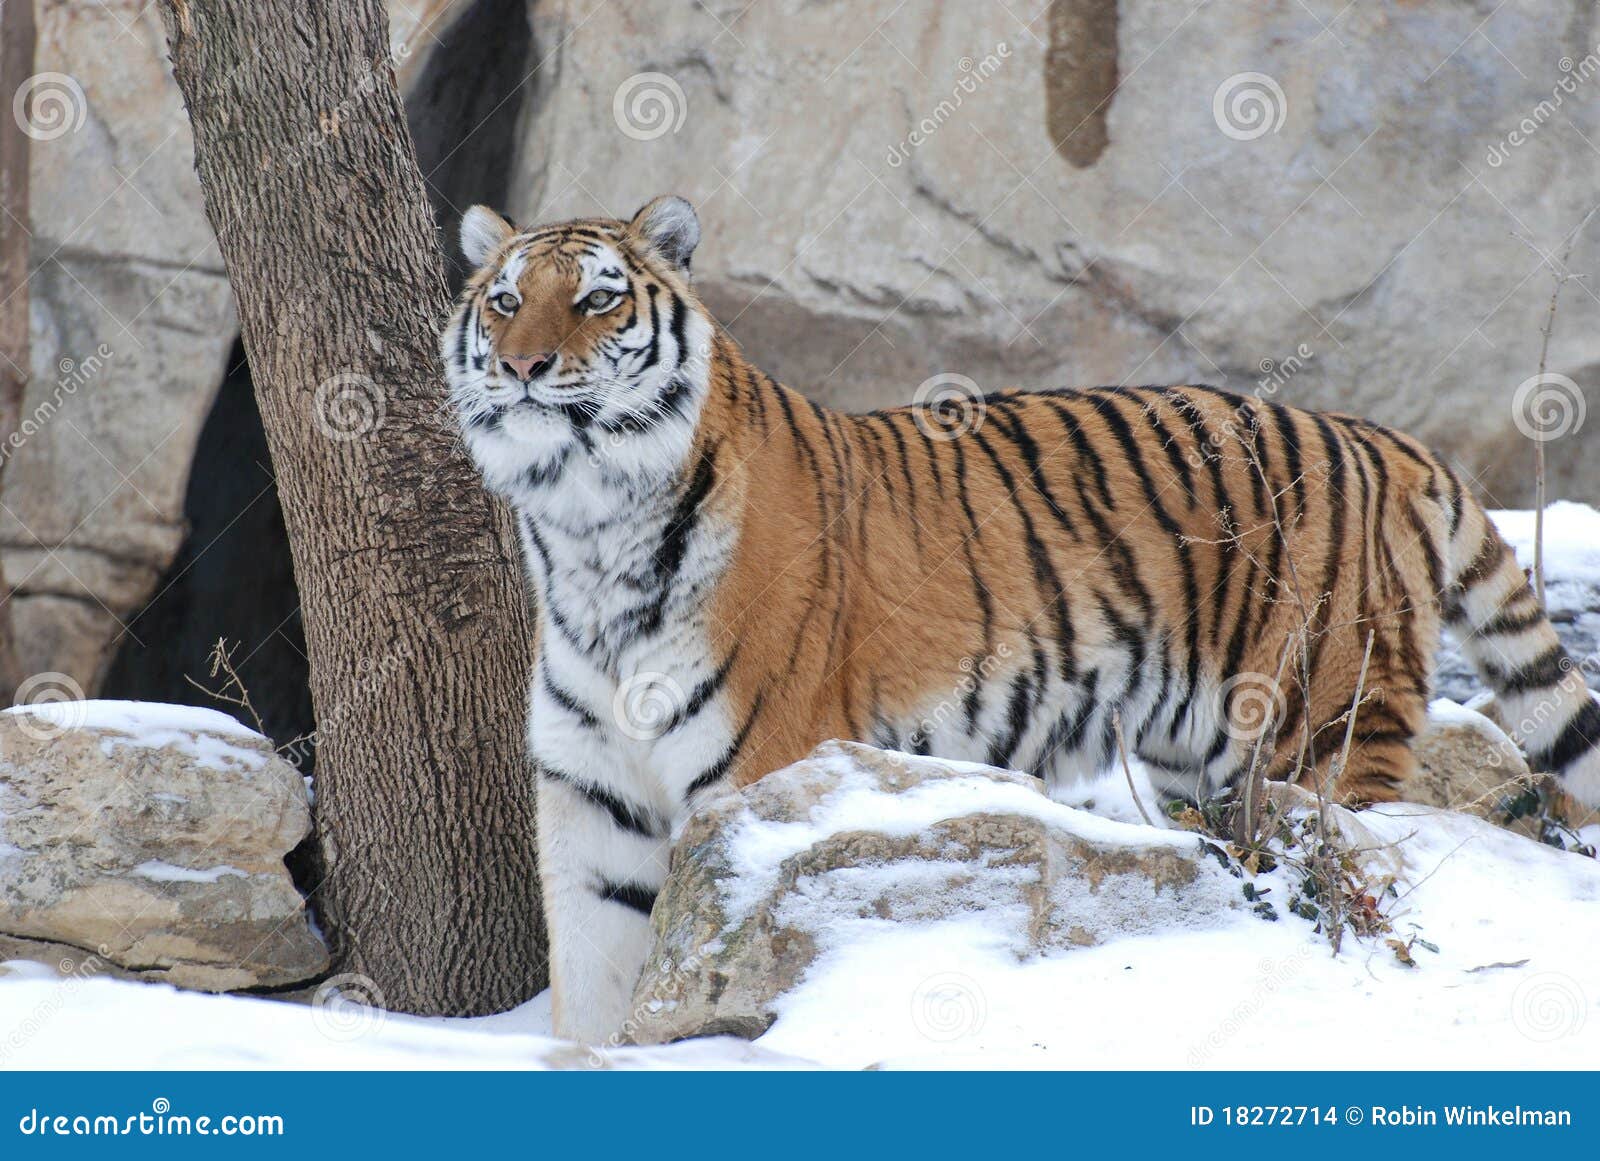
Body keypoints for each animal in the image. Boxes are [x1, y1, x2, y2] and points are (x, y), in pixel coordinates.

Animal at [442, 194, 1600, 1043]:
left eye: (597, 300)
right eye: (504, 301)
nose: (524, 367)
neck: (587, 534)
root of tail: (1378, 439)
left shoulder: (755, 774)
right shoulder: (593, 798)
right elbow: (592, 982)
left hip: (1318, 733)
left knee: (1364, 856)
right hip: (1200, 759)